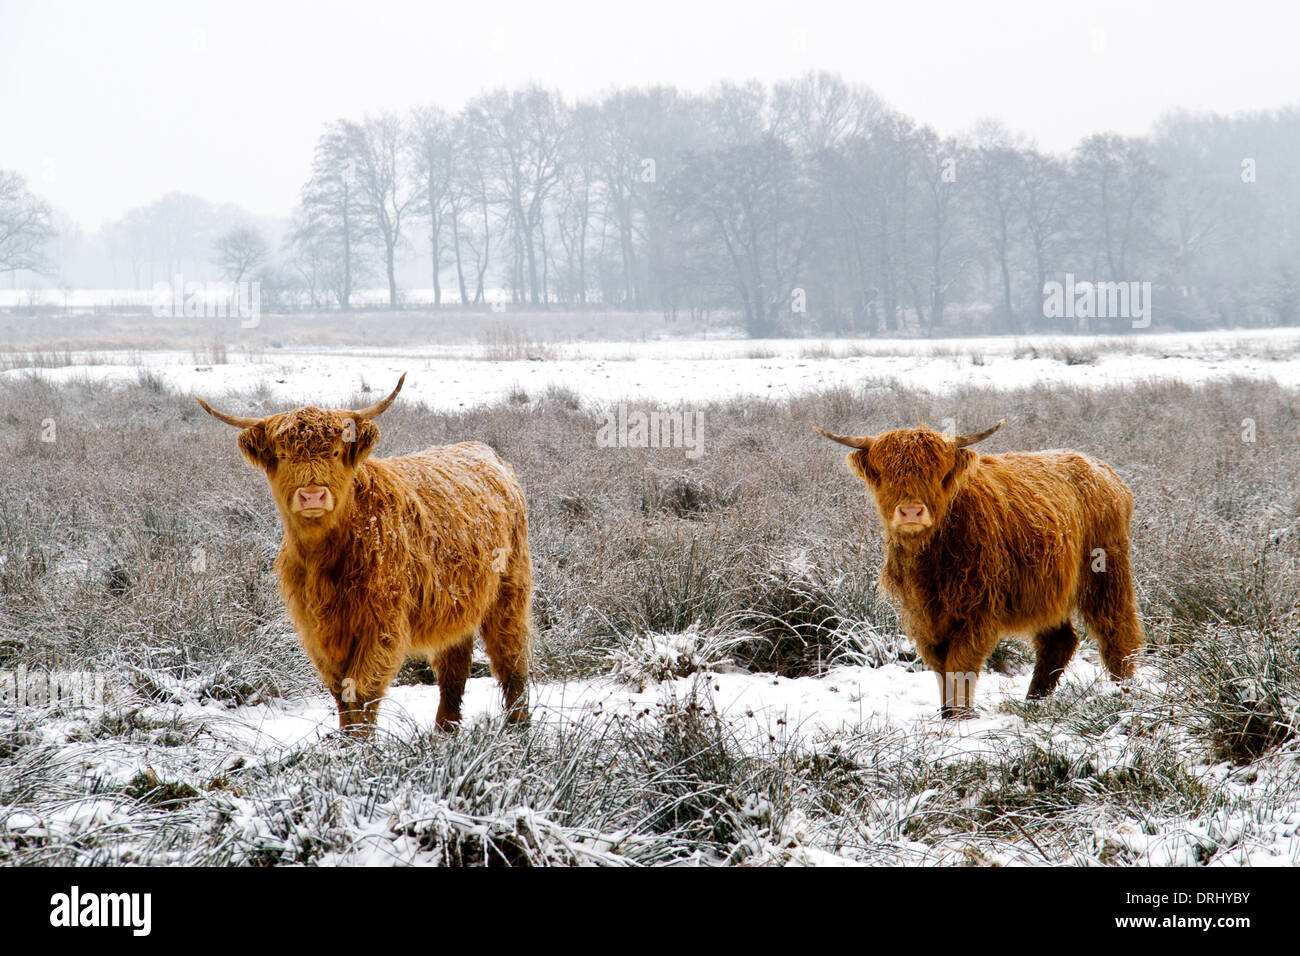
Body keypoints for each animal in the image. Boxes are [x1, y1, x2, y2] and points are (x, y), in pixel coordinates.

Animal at [198, 374, 532, 737]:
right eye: (284, 454)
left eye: (334, 451)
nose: (312, 495)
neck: (325, 558)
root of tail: (485, 452)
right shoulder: (316, 629)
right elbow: (340, 690)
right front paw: (346, 741)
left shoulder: (382, 621)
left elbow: (362, 687)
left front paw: (360, 745)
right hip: (455, 601)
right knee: (454, 665)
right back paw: (445, 731)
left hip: (509, 590)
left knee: (511, 656)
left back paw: (517, 726)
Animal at [815, 420, 1142, 718]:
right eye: (885, 474)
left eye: (938, 473)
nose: (910, 512)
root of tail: (1104, 470)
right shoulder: (922, 617)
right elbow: (940, 667)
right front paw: (947, 714)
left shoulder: (977, 612)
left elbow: (960, 664)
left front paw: (960, 717)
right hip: (1047, 590)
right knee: (1059, 641)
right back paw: (1034, 701)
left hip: (1106, 572)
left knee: (1117, 629)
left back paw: (1121, 691)